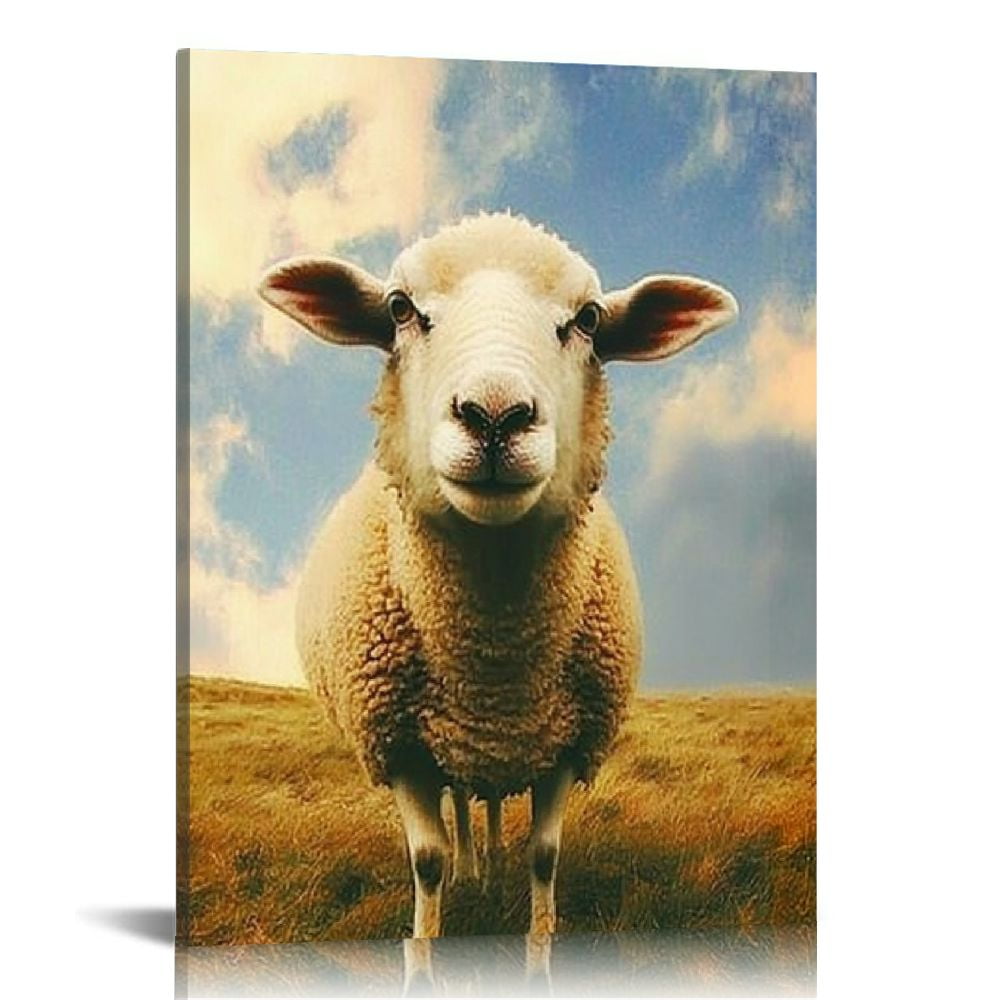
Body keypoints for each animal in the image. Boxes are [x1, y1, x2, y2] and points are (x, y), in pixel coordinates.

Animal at [259, 213, 737, 969]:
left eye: (588, 319)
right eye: (400, 309)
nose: (493, 416)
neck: (494, 659)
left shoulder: (566, 742)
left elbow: (545, 855)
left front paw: (540, 945)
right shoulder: (400, 746)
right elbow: (425, 859)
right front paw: (424, 947)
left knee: (482, 804)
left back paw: (487, 866)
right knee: (461, 808)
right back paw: (468, 871)